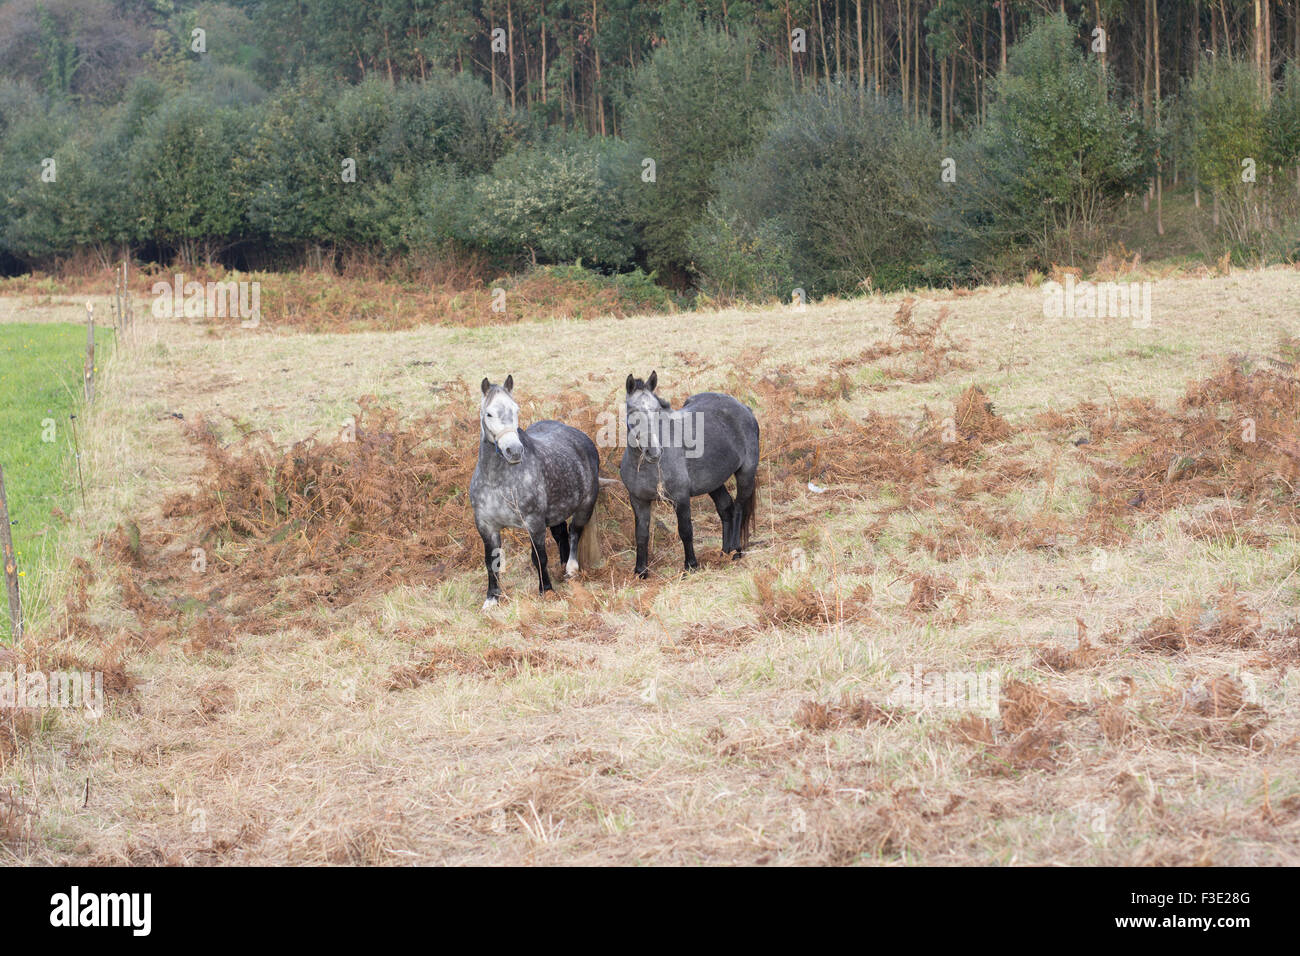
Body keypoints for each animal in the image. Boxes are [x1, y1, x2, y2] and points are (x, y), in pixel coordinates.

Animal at [469, 375, 601, 609]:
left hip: (585, 506)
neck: (498, 481)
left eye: (516, 409)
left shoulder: (534, 523)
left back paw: (570, 568)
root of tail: (581, 437)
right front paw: (492, 599)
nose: (514, 451)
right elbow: (491, 562)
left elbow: (539, 557)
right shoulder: (486, 527)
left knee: (574, 532)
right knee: (561, 535)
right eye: (489, 413)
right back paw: (563, 564)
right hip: (557, 512)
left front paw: (546, 590)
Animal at [619, 371, 760, 577]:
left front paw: (691, 565)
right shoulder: (638, 501)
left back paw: (735, 551)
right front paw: (640, 571)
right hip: (714, 482)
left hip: (746, 475)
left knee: (739, 509)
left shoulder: (681, 498)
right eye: (632, 412)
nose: (654, 452)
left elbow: (685, 530)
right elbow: (641, 534)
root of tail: (744, 408)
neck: (647, 468)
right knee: (726, 509)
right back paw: (724, 551)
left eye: (657, 411)